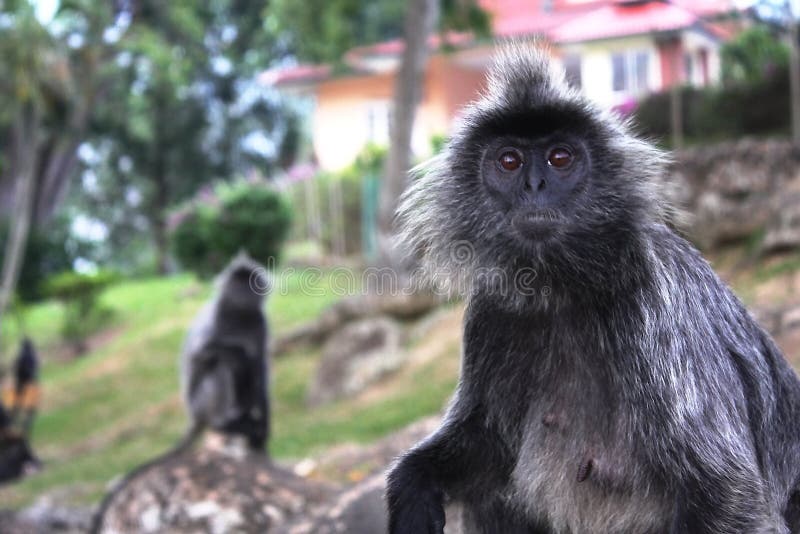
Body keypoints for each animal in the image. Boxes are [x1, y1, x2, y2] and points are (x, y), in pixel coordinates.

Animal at [386, 44, 800, 534]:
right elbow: (488, 446)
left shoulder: (653, 302)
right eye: (509, 161)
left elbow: (724, 486)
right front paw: (413, 486)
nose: (535, 185)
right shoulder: (493, 310)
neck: (563, 290)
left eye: (560, 158)